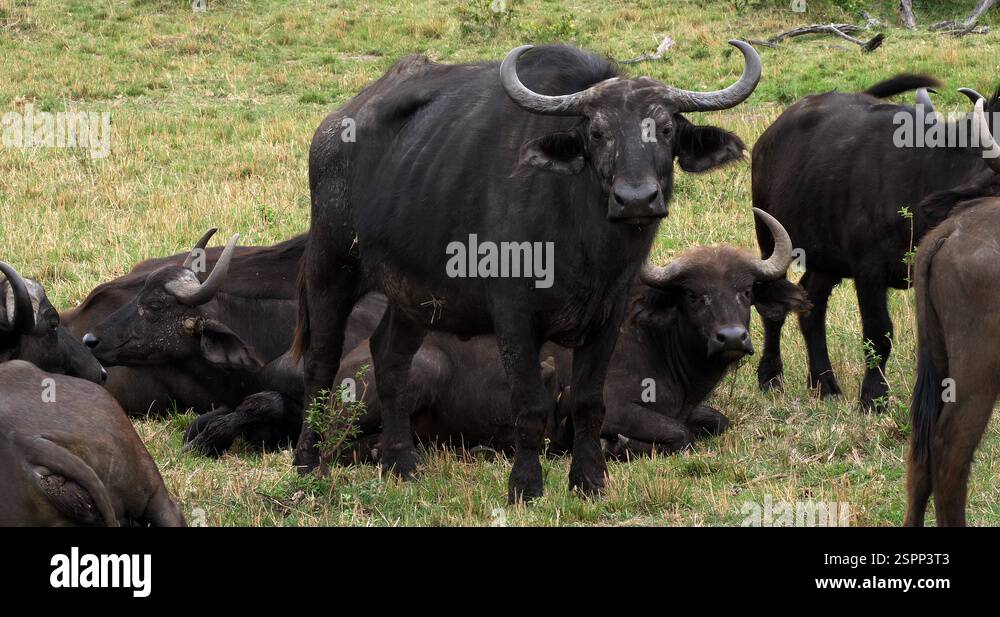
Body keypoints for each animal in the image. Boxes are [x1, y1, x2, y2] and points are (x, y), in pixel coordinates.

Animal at [294, 42, 761, 501]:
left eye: (665, 129)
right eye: (597, 133)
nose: (636, 199)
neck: (582, 239)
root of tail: (333, 129)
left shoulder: (607, 315)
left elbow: (590, 402)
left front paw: (589, 481)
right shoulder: (514, 317)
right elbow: (530, 404)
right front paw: (525, 486)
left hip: (412, 297)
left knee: (390, 358)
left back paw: (402, 462)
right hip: (331, 264)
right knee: (321, 362)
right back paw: (307, 466)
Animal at [751, 75, 999, 410]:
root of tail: (767, 140)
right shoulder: (868, 269)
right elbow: (878, 331)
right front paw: (874, 397)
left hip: (827, 260)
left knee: (811, 301)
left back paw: (824, 383)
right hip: (771, 240)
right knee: (773, 306)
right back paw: (771, 377)